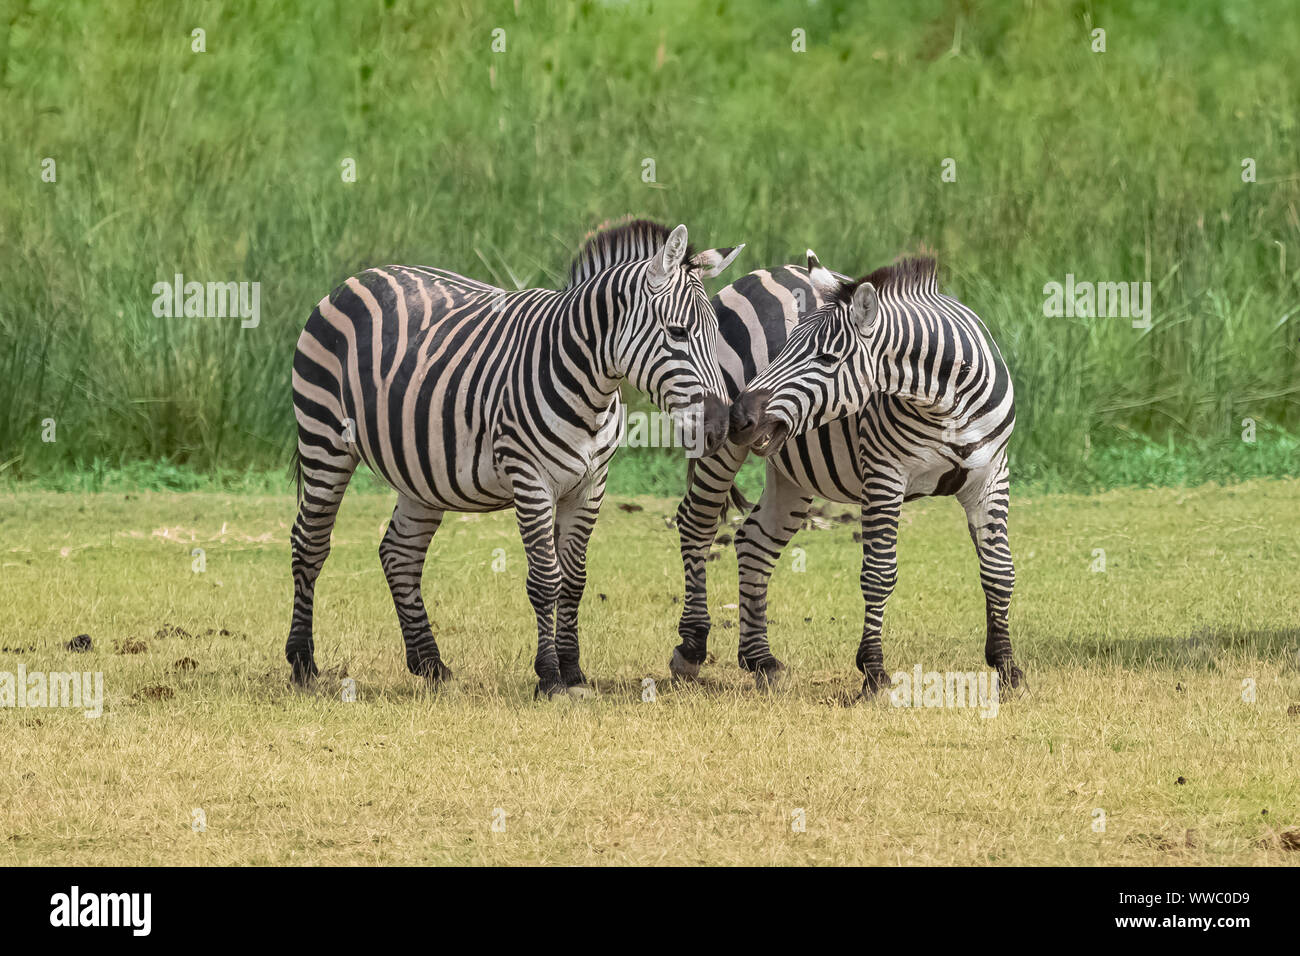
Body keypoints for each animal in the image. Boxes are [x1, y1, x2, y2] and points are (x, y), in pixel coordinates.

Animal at [288, 219, 743, 698]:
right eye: (677, 333)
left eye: (717, 336)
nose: (720, 429)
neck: (590, 385)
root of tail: (361, 276)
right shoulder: (531, 479)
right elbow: (546, 580)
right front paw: (549, 676)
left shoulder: (591, 484)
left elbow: (574, 580)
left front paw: (573, 669)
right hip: (324, 438)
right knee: (310, 543)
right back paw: (302, 663)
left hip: (421, 472)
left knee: (399, 554)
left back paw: (429, 663)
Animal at [670, 252, 1022, 698]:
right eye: (784, 348)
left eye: (825, 359)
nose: (738, 417)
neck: (945, 403)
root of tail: (767, 271)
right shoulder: (884, 475)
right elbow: (879, 574)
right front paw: (873, 672)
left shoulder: (991, 475)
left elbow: (999, 570)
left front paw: (1007, 667)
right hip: (721, 448)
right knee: (696, 524)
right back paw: (691, 648)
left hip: (792, 471)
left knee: (755, 542)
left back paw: (761, 660)